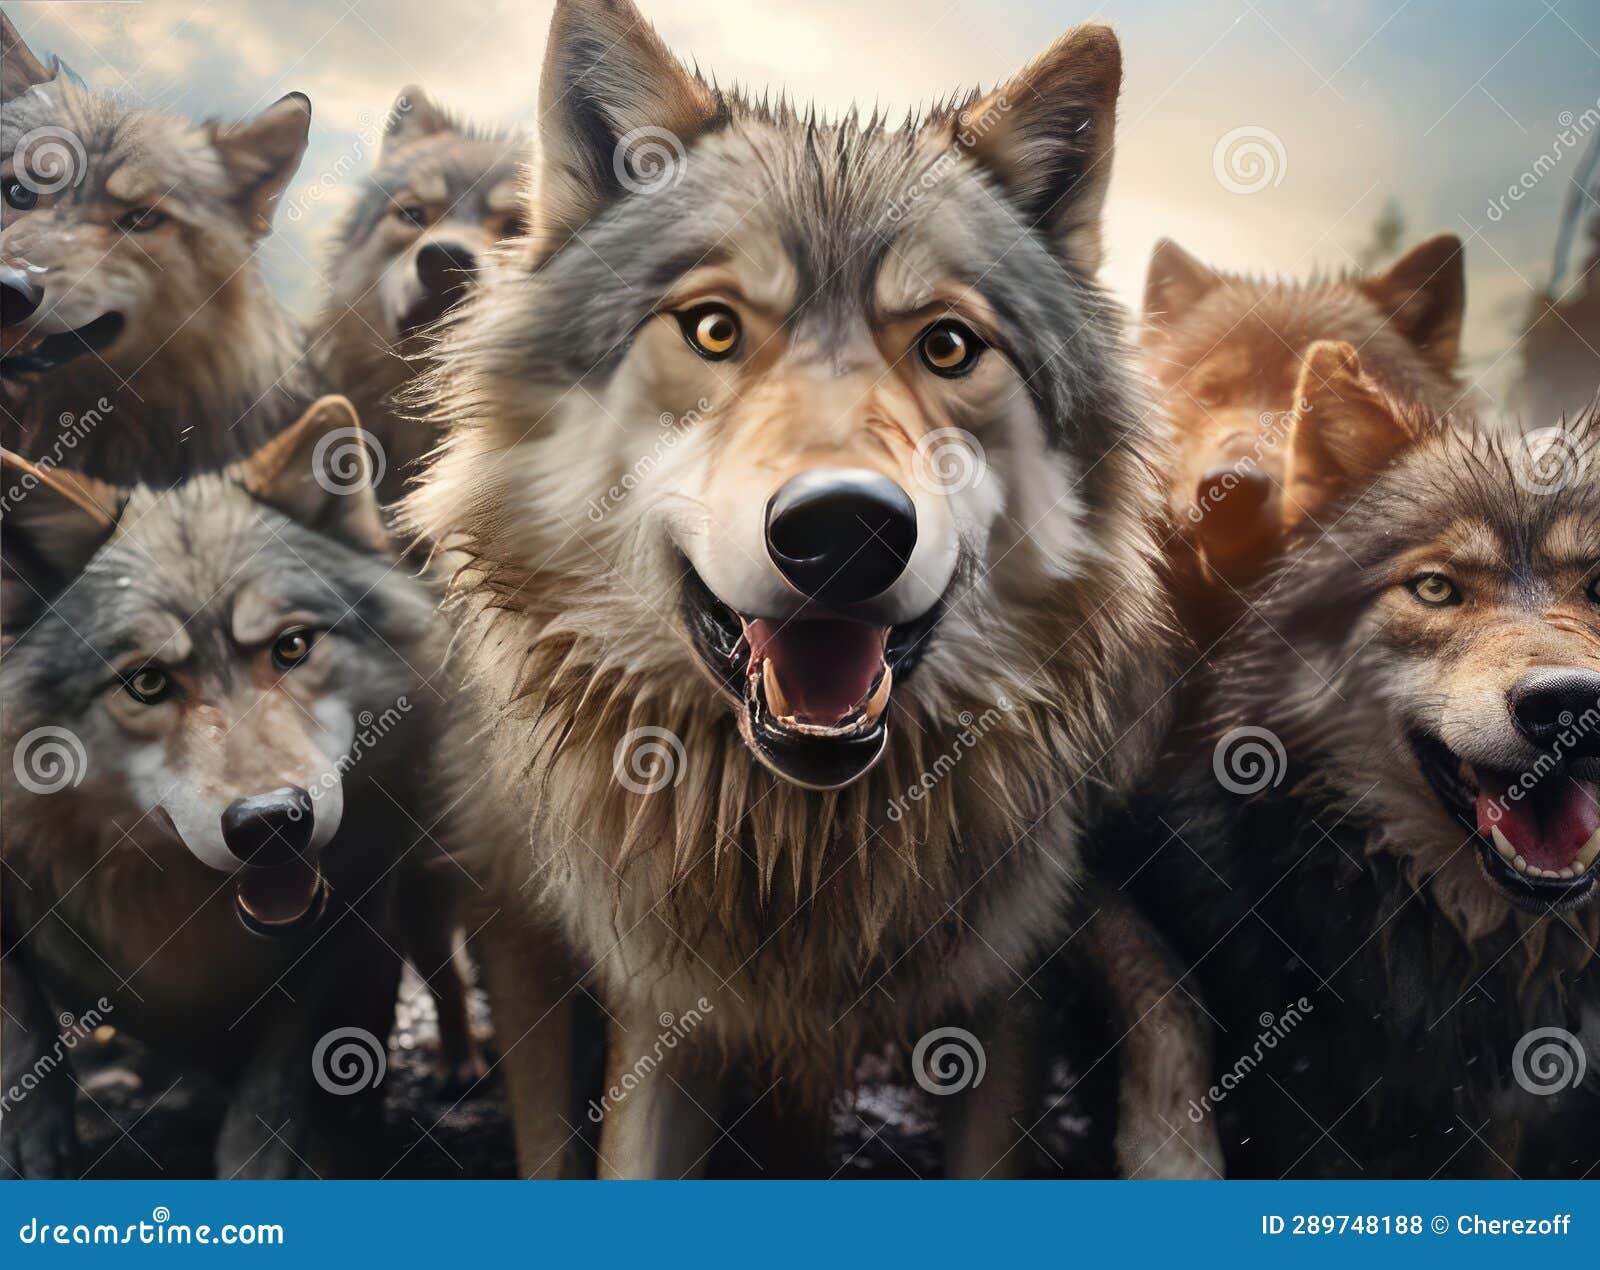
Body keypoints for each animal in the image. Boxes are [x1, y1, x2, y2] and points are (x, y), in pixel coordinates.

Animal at [0, 398, 442, 1178]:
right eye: (147, 683)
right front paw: (29, 1137)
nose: (271, 822)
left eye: (291, 647)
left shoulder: (349, 916)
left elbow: (278, 1084)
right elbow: (15, 1012)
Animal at [407, 0, 1218, 1179]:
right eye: (713, 329)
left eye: (948, 345)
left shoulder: (1007, 1000)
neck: (803, 847)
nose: (844, 528)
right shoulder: (662, 1008)